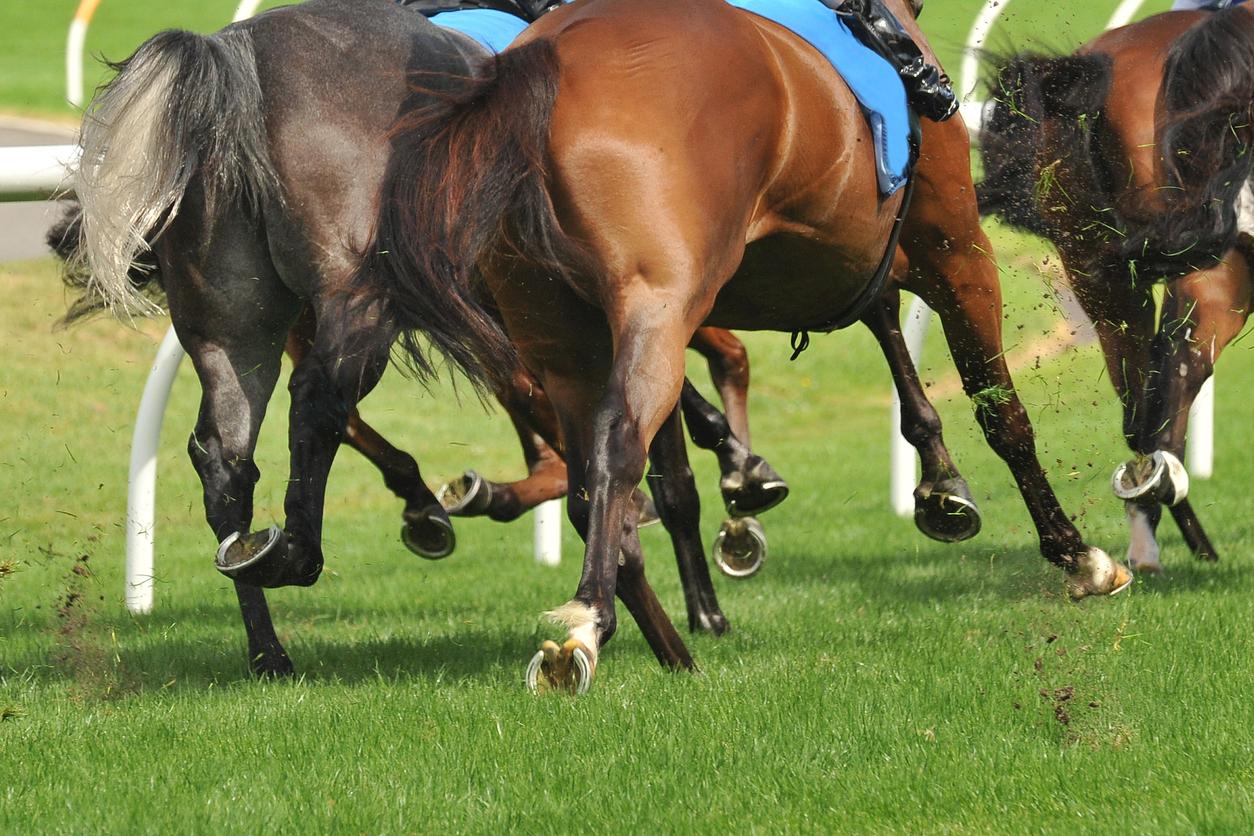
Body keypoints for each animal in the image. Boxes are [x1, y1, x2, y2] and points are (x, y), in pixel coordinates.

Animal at [361, 0, 1131, 694]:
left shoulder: (840, 258)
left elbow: (883, 322)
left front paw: (940, 483)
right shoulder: (951, 242)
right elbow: (999, 409)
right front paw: (1073, 551)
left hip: (556, 332)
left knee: (588, 485)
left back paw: (654, 637)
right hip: (654, 306)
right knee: (620, 444)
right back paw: (590, 621)